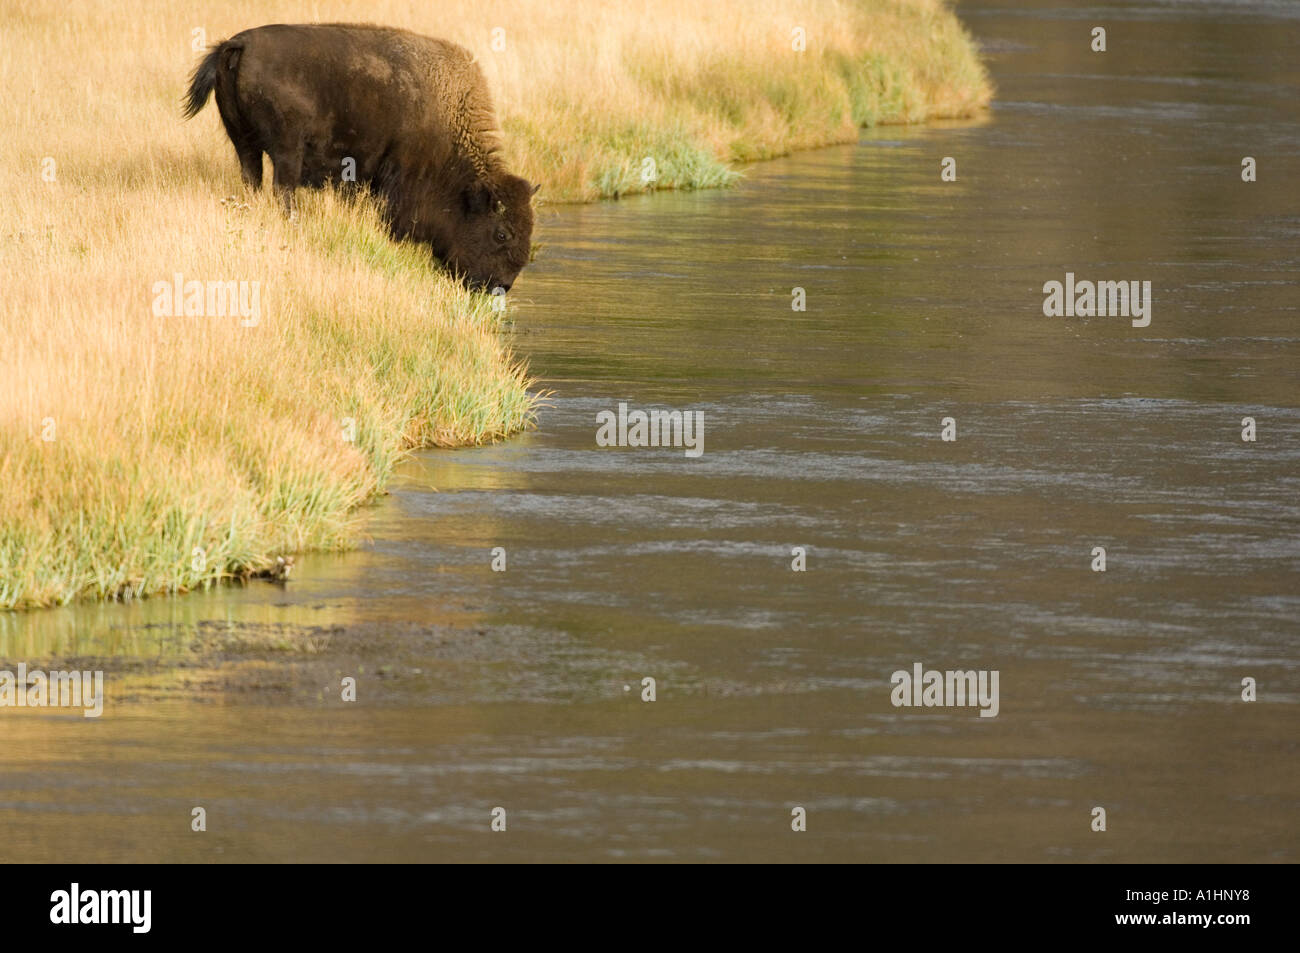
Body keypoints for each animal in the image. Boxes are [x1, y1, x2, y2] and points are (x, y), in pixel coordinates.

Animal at [184, 23, 536, 292]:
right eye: (502, 233)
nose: (501, 286)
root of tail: (237, 44)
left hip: (243, 142)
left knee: (252, 179)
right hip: (287, 150)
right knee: (283, 190)